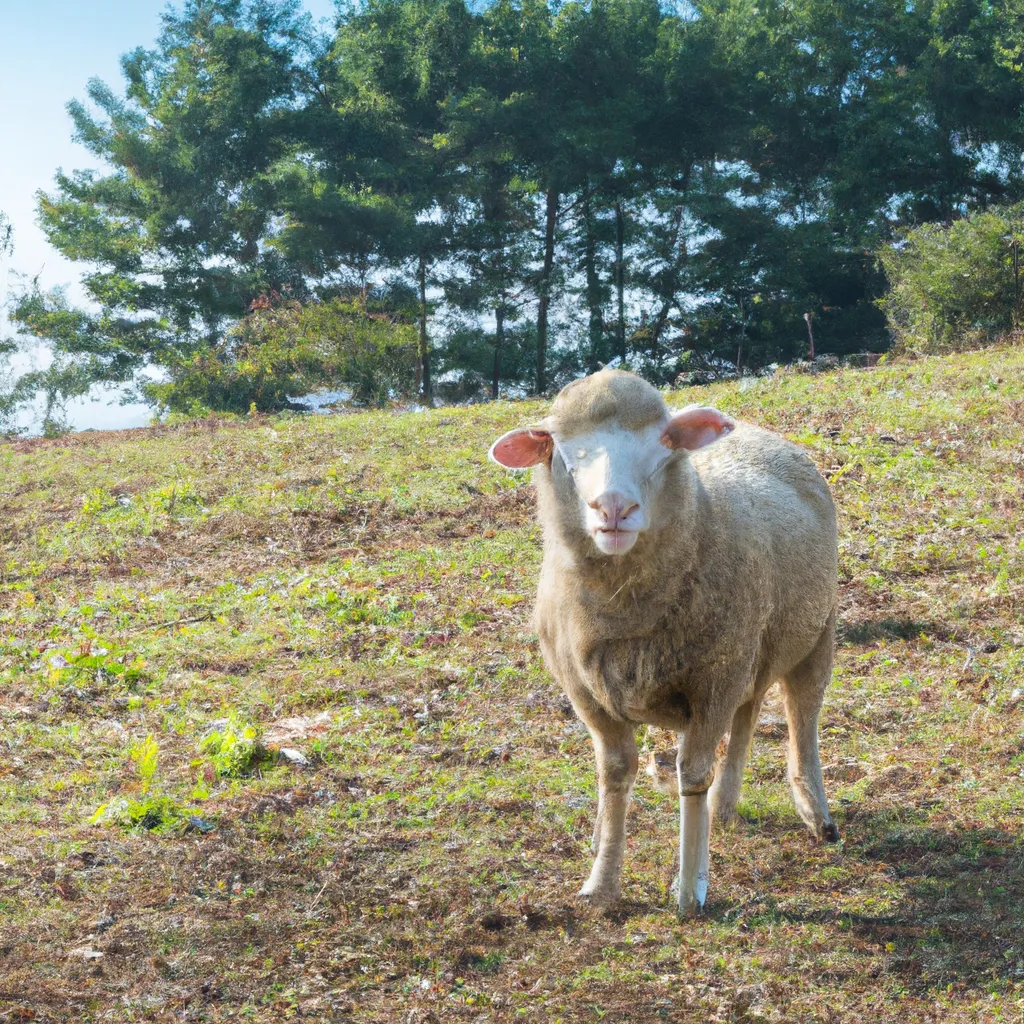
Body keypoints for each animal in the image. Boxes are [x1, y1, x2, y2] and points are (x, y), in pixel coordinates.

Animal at [488, 368, 839, 917]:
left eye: (663, 444)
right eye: (564, 452)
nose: (614, 507)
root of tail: (754, 430)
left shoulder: (713, 681)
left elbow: (690, 775)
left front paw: (690, 890)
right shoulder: (588, 693)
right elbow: (615, 775)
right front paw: (601, 881)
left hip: (813, 635)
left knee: (803, 720)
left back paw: (816, 813)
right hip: (750, 648)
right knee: (748, 715)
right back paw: (724, 807)